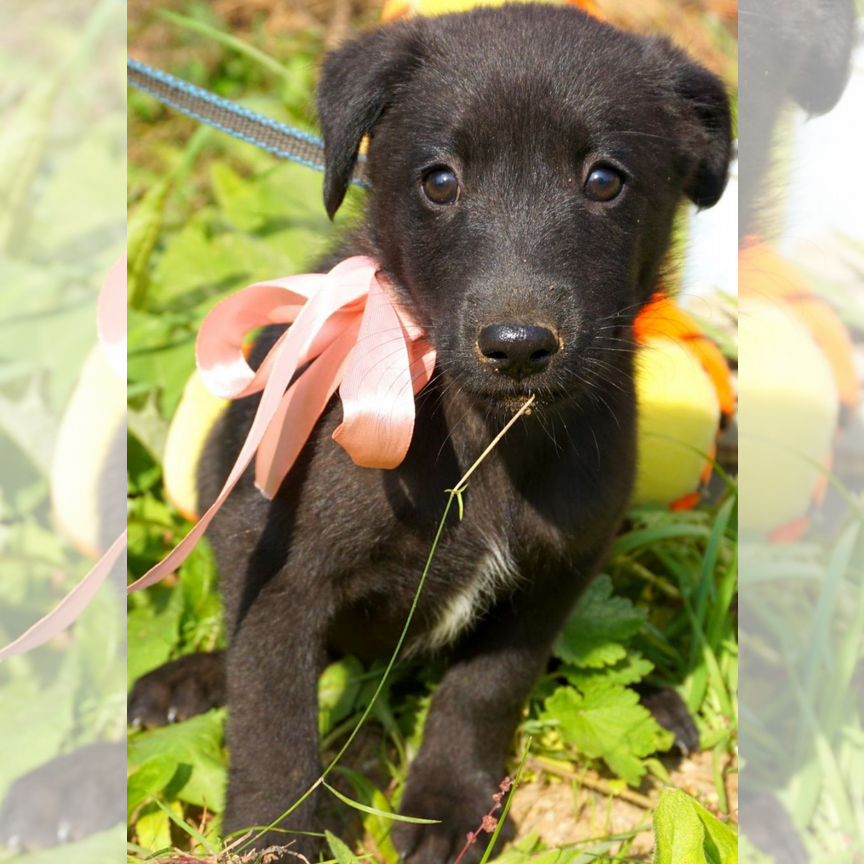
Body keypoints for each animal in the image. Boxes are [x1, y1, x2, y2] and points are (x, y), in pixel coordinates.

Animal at [132, 5, 732, 856]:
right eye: (440, 181)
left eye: (605, 180)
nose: (518, 345)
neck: (485, 435)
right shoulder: (277, 567)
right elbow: (273, 729)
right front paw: (274, 840)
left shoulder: (558, 570)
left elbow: (485, 690)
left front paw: (449, 805)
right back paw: (183, 681)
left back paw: (656, 700)